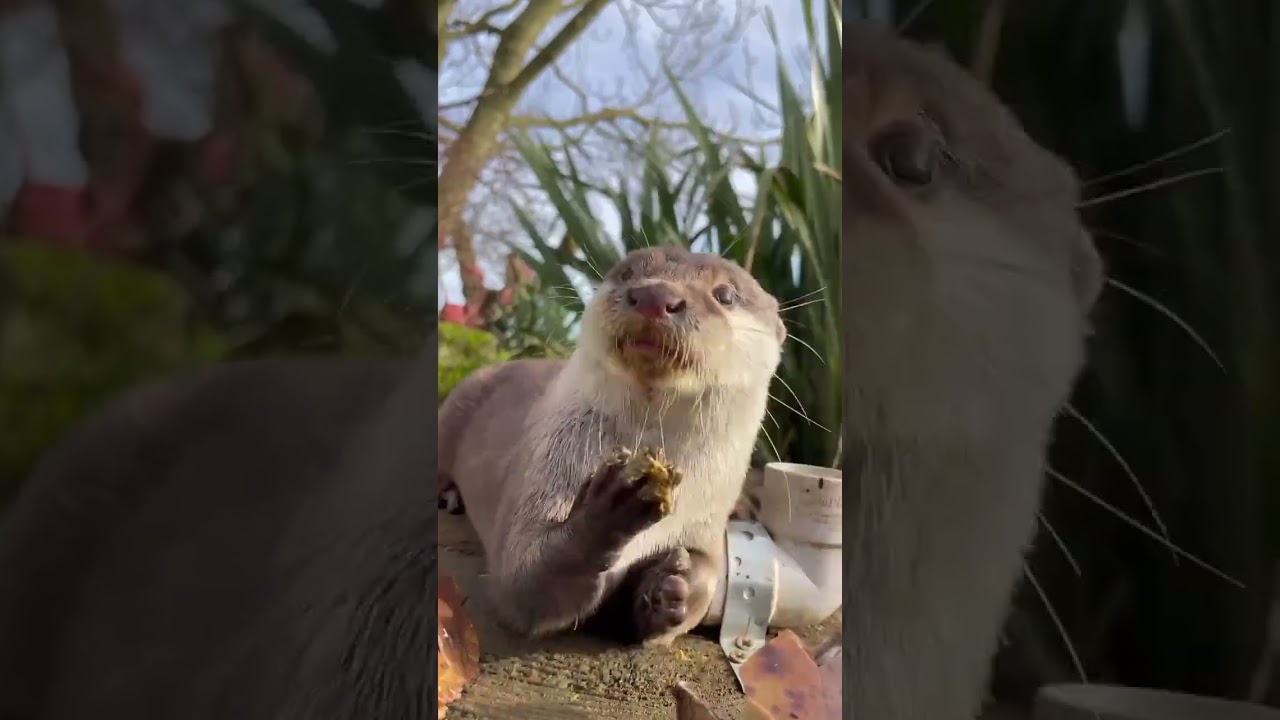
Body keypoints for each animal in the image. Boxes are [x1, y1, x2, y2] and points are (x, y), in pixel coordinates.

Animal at [438, 246, 785, 645]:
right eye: (628, 273)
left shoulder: (708, 523)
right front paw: (609, 507)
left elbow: (706, 579)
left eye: (725, 294)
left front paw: (674, 592)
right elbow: (522, 576)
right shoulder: (538, 481)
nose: (655, 296)